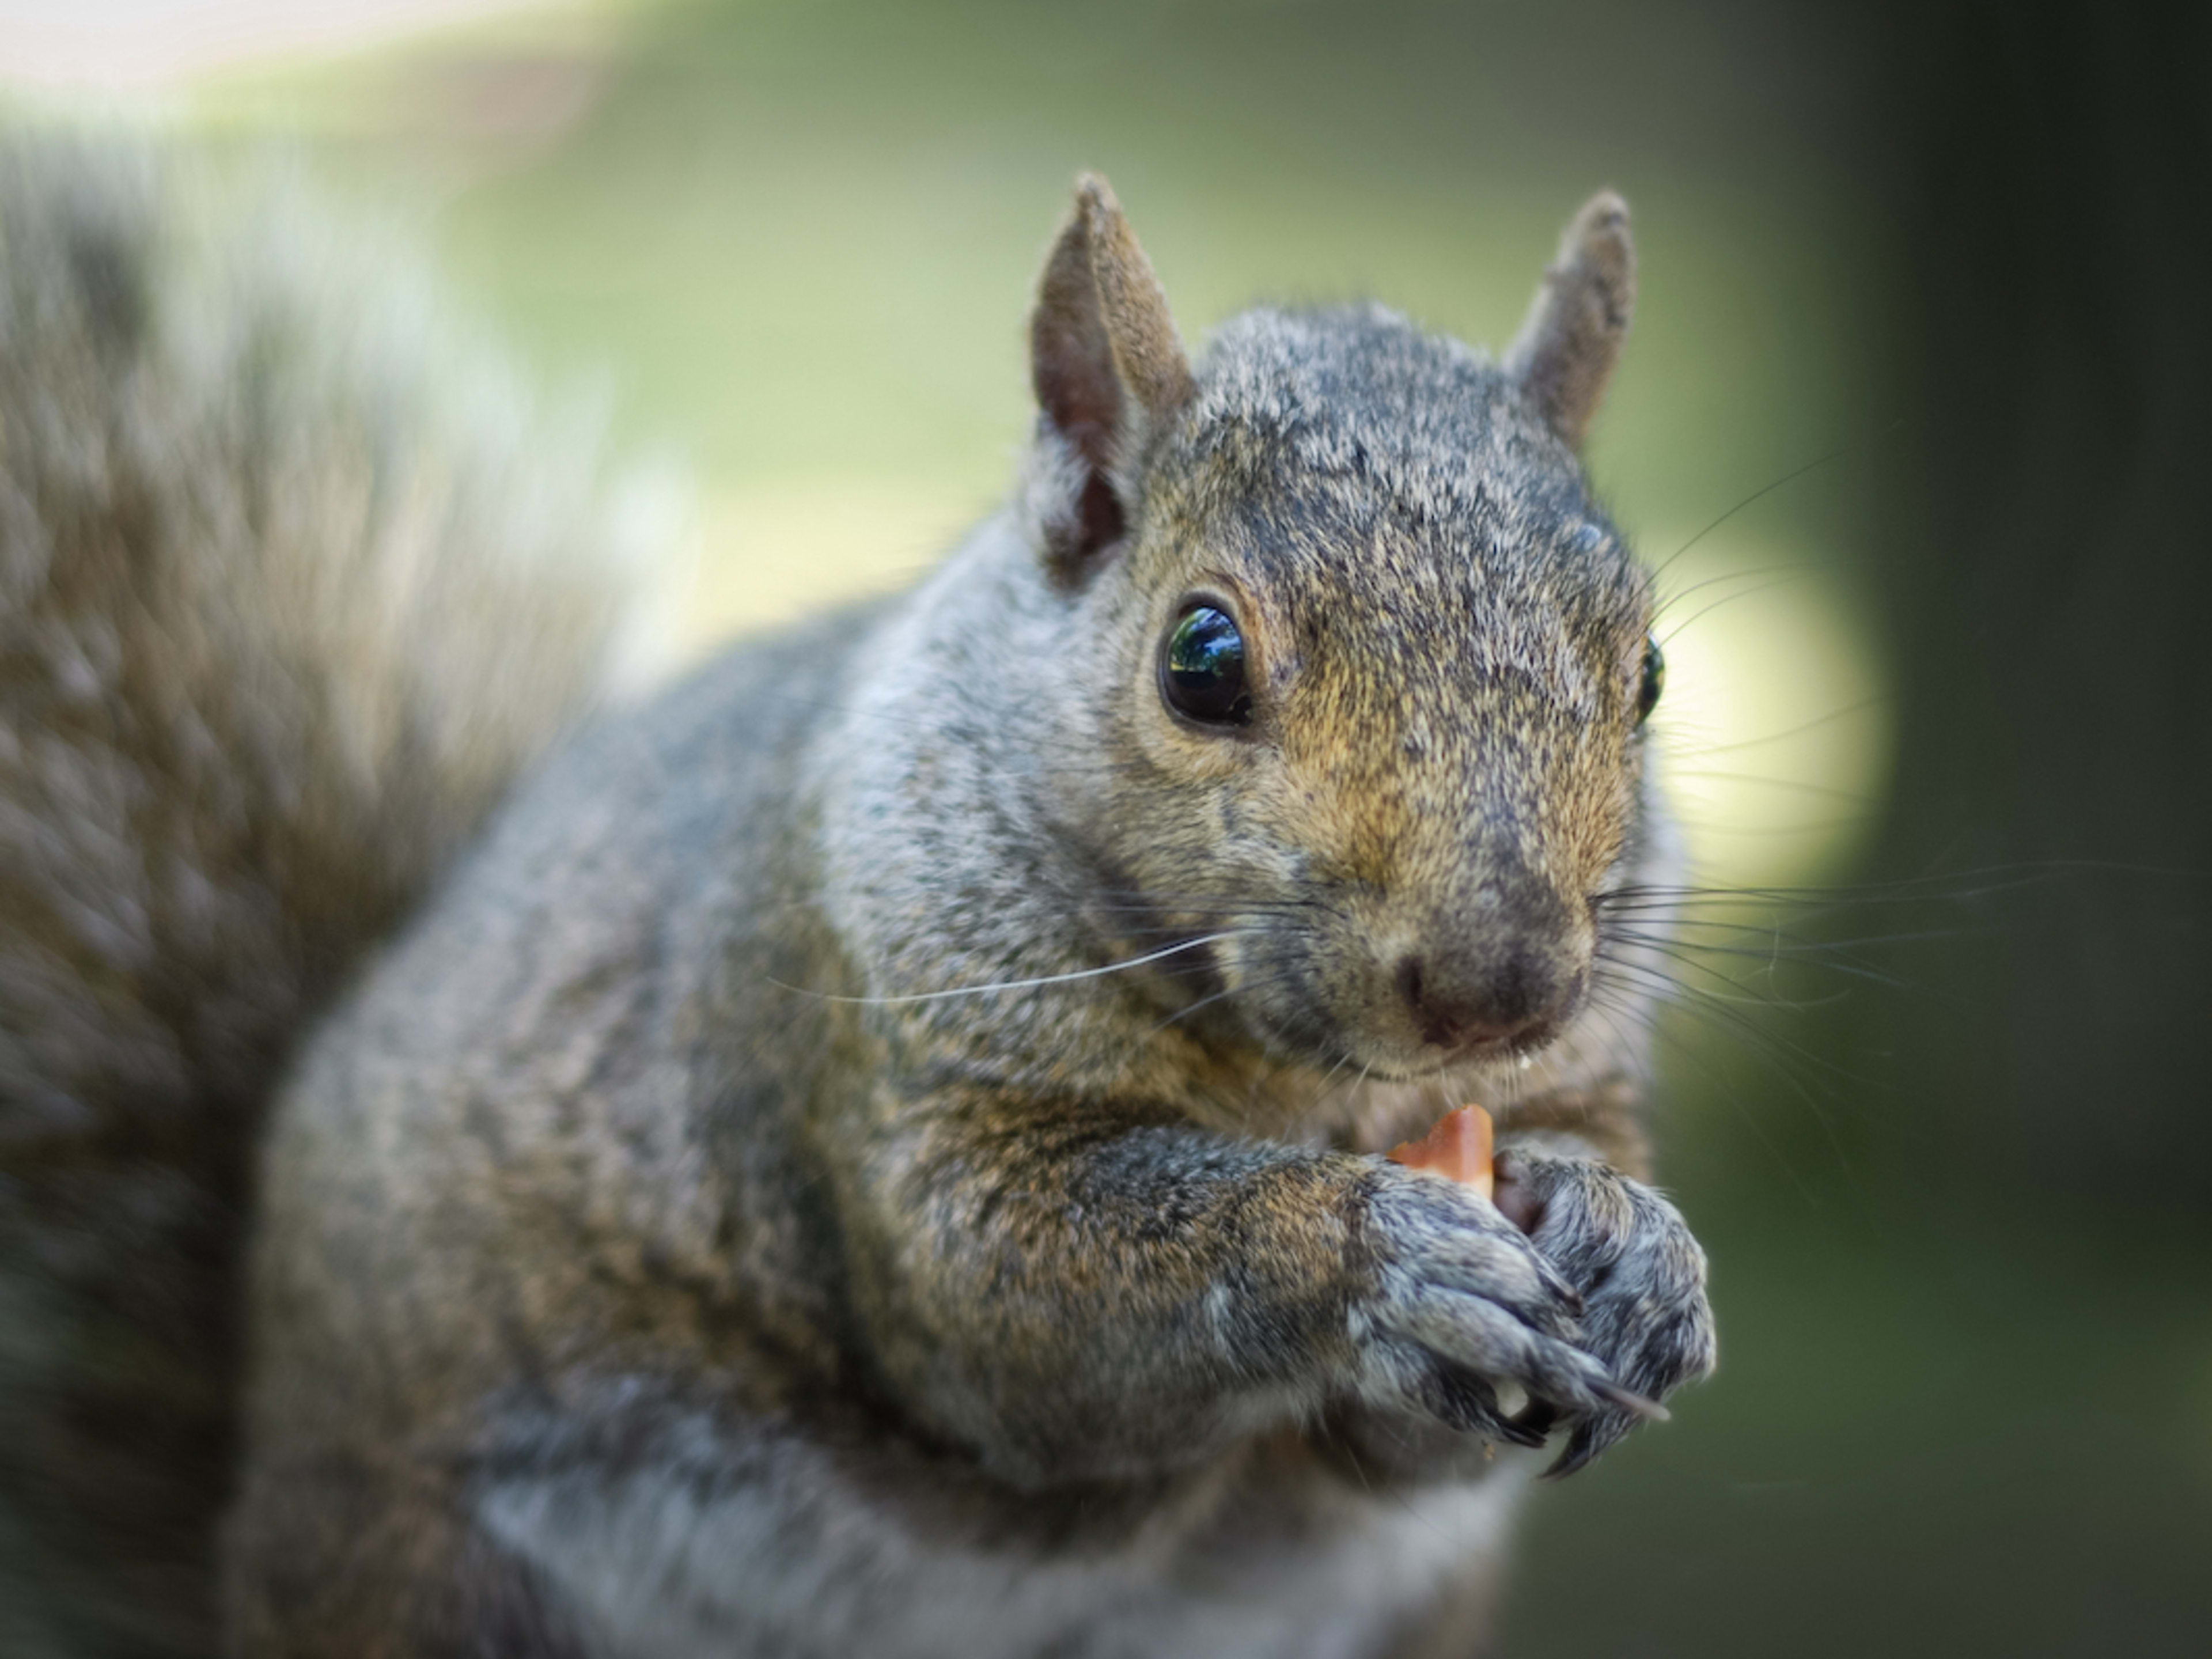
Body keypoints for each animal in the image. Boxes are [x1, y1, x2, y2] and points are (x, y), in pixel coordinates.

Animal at [2, 132, 1715, 1659]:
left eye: (1646, 670)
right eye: (1200, 658)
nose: (1499, 990)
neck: (1307, 1085)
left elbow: (1409, 1436)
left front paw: (1633, 1239)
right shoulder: (884, 1070)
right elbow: (1009, 1301)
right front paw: (1375, 1257)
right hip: (416, 1570)